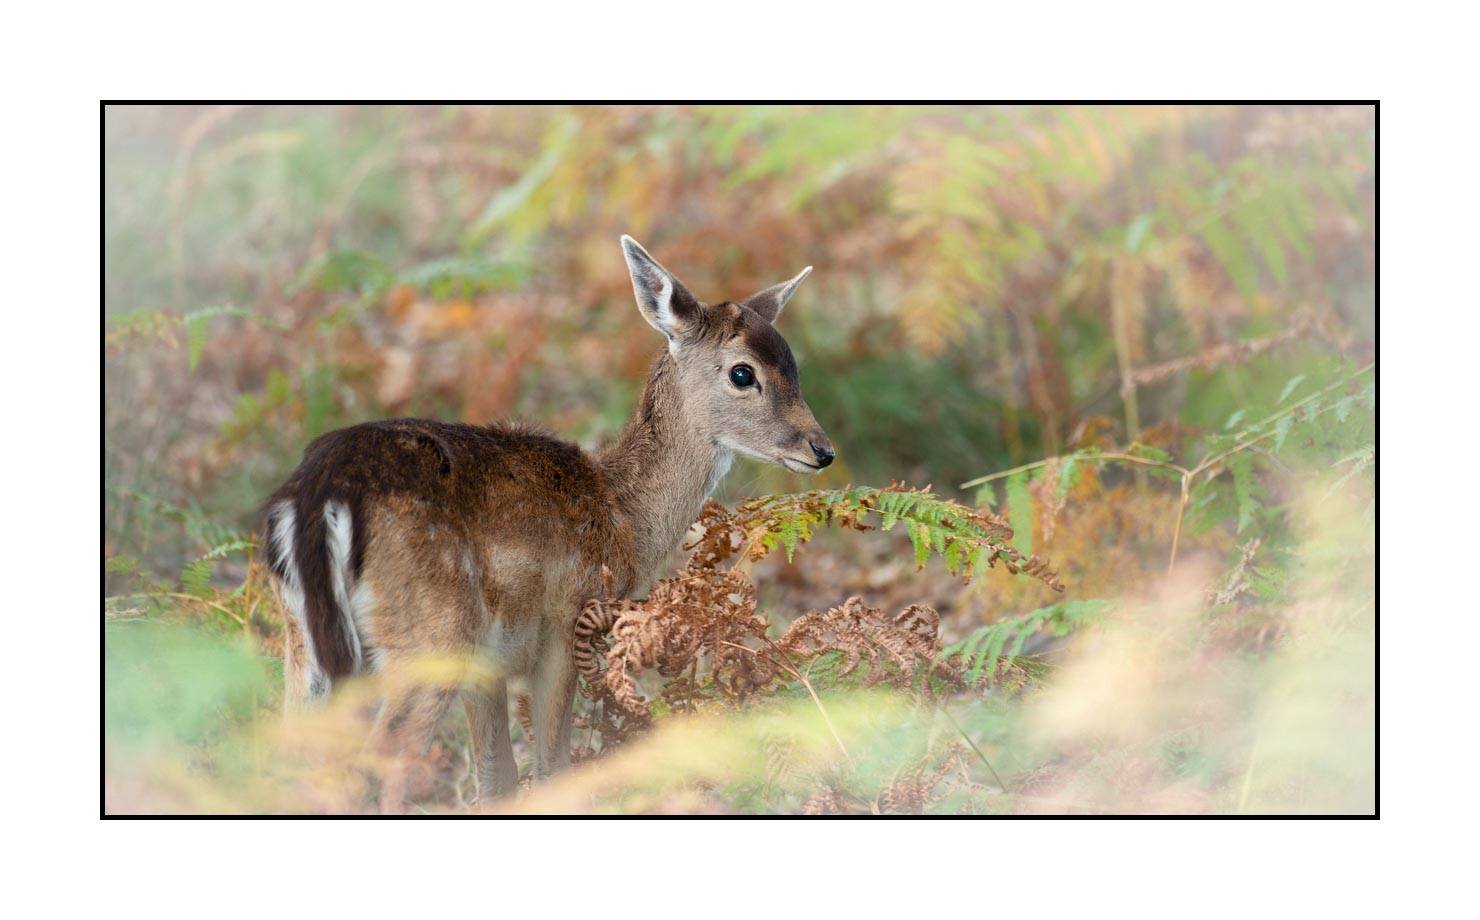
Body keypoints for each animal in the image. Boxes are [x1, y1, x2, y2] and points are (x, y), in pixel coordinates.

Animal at [261, 236, 834, 810]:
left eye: (796, 367)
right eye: (743, 373)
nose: (822, 449)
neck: (624, 518)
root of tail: (317, 498)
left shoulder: (489, 663)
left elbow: (497, 776)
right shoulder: (565, 622)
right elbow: (552, 768)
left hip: (305, 645)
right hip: (432, 633)